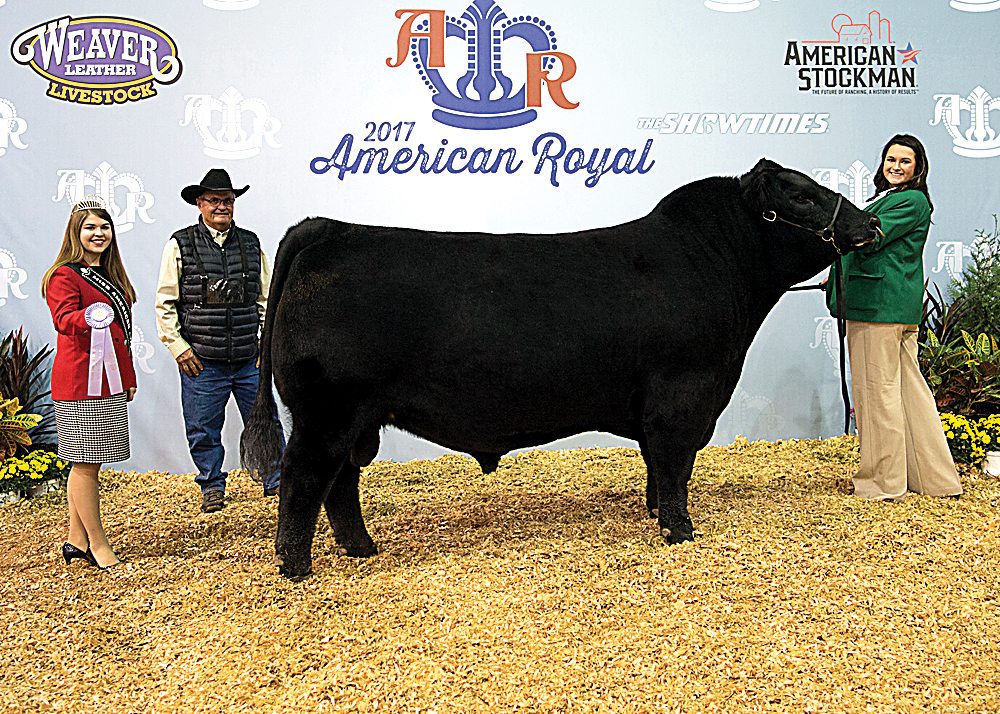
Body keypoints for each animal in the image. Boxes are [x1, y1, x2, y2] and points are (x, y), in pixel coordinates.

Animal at [242, 158, 879, 580]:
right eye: (800, 197)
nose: (869, 225)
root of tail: (329, 227)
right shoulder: (683, 396)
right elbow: (675, 465)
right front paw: (679, 532)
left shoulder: (660, 407)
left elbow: (657, 466)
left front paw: (655, 515)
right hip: (327, 409)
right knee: (304, 476)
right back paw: (296, 566)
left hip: (355, 417)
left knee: (340, 481)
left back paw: (361, 548)